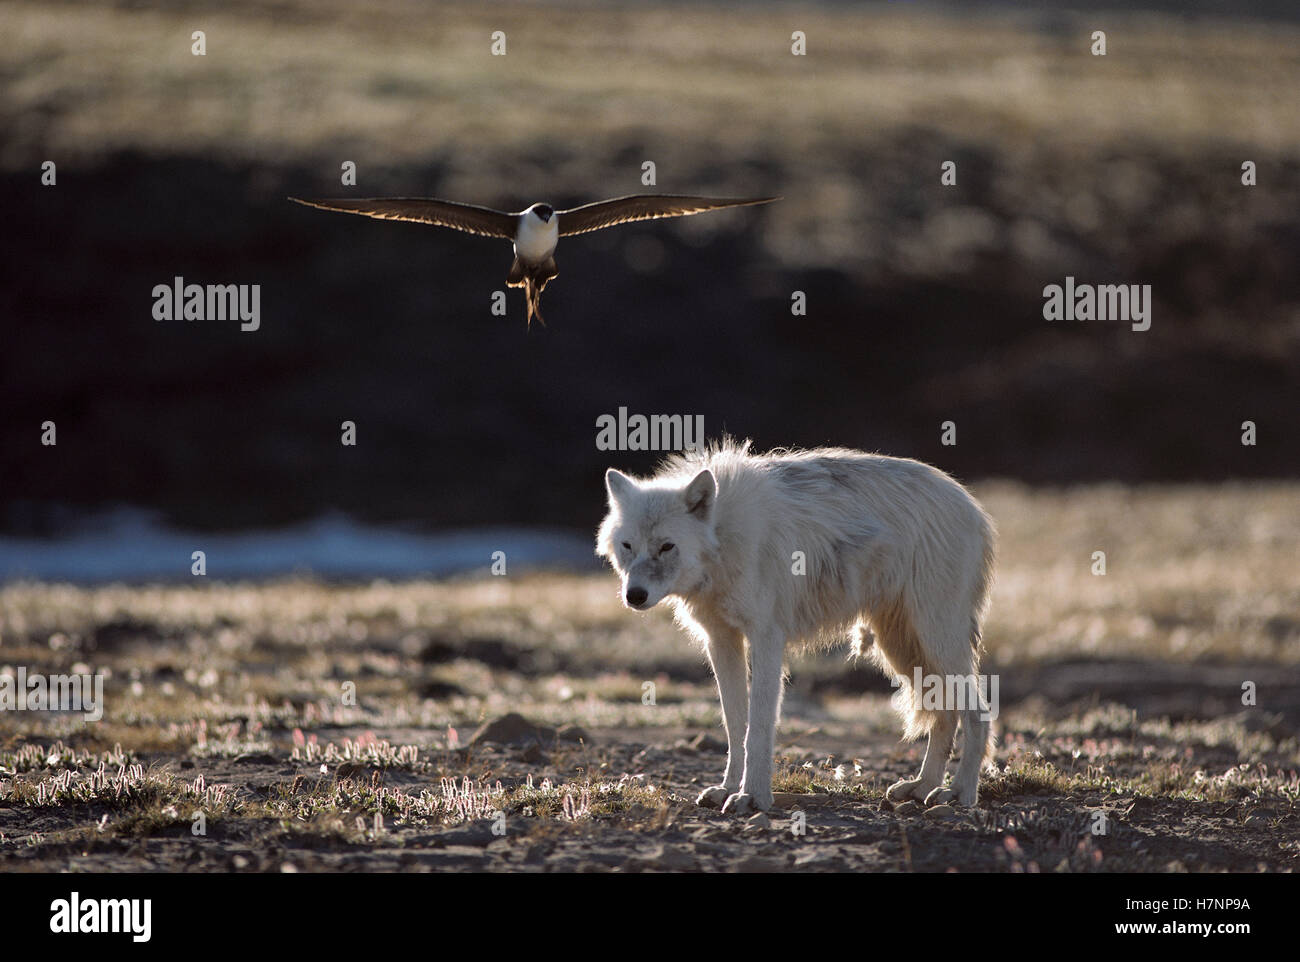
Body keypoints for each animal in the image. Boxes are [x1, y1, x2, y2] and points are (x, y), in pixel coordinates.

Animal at [597, 440, 997, 814]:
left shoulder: (766, 639)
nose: (634, 595)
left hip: (935, 640)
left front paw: (752, 797)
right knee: (945, 713)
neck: (723, 536)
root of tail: (974, 507)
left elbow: (758, 728)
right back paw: (922, 785)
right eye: (628, 545)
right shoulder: (721, 641)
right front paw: (728, 789)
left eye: (667, 547)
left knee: (977, 714)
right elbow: (735, 726)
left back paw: (959, 793)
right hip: (901, 647)